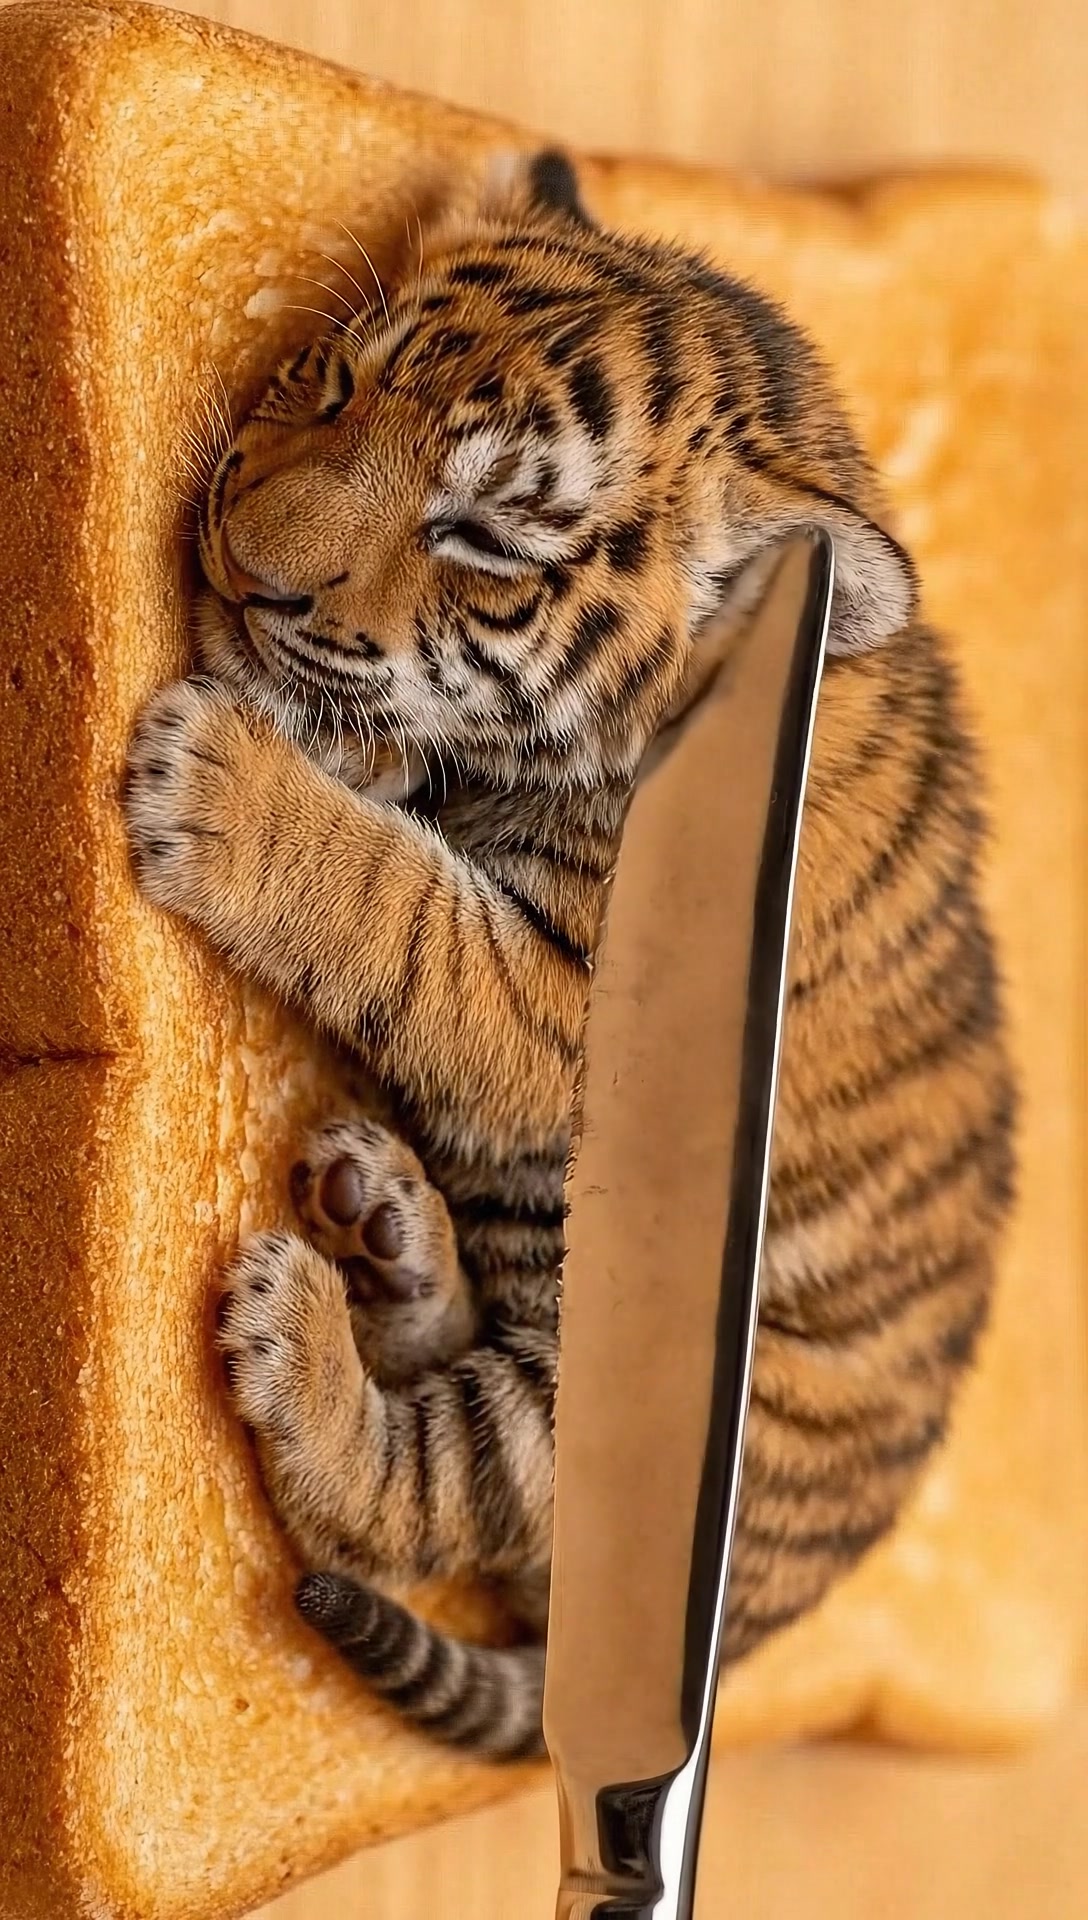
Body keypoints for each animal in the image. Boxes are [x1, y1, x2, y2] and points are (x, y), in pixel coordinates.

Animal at [123, 148, 1015, 1761]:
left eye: (480, 539)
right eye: (329, 384)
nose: (236, 563)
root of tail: (758, 1638)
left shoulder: (576, 1012)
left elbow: (409, 911)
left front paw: (215, 785)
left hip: (640, 1420)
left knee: (420, 1502)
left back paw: (304, 1332)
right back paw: (383, 1219)